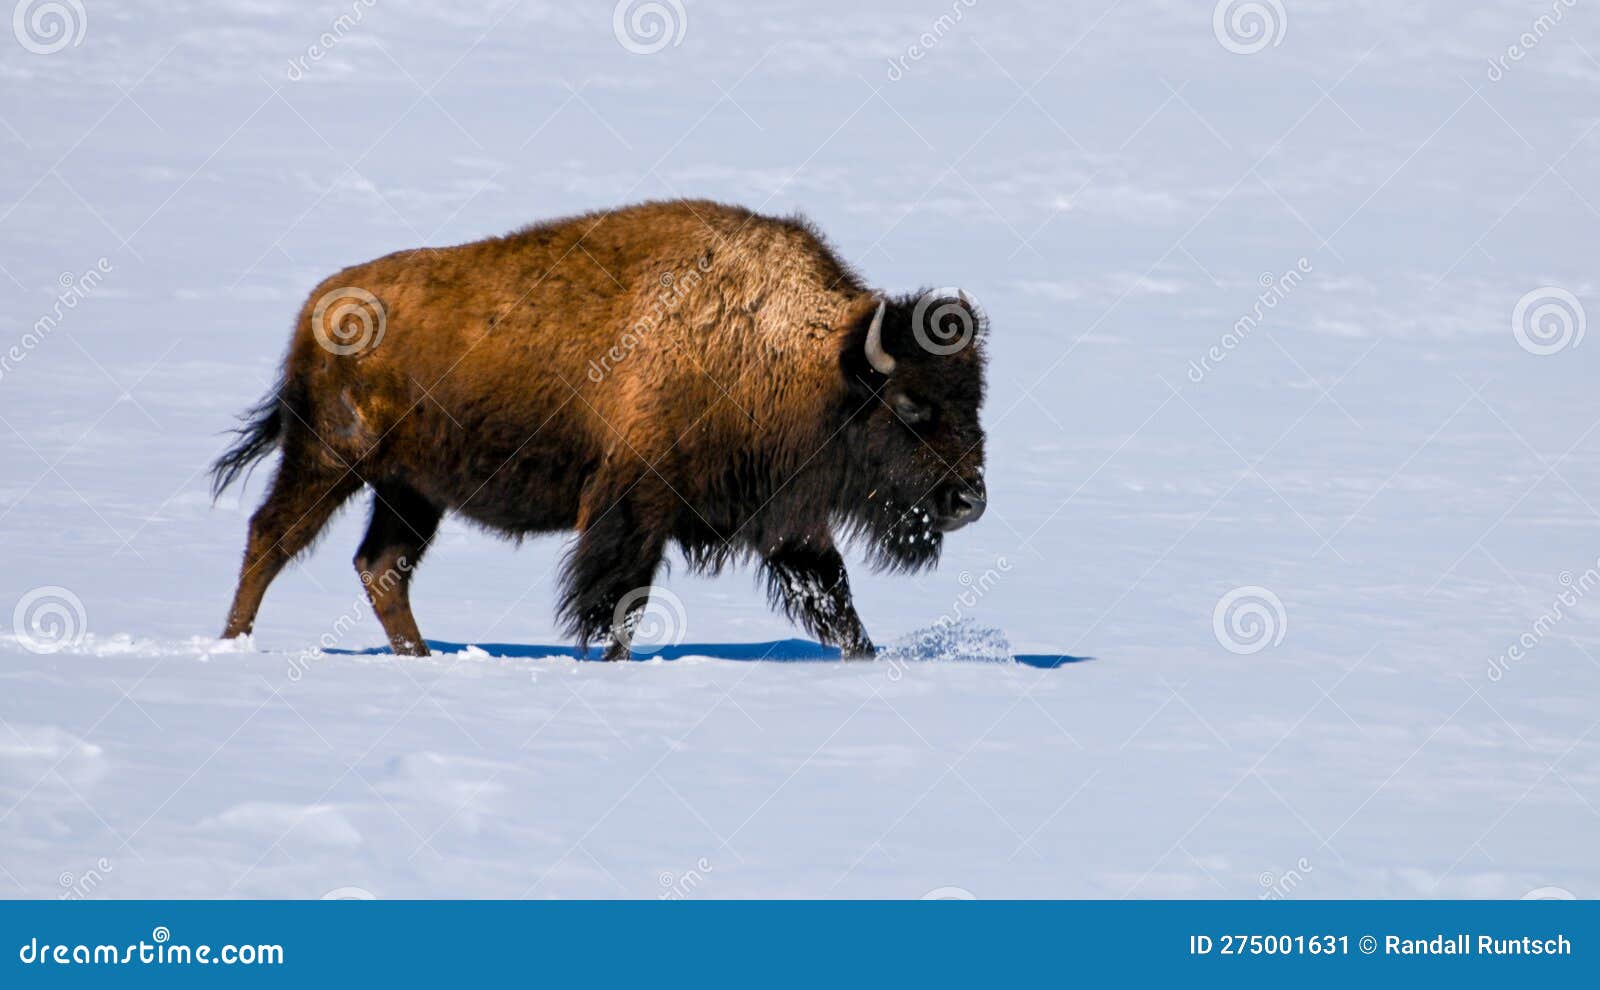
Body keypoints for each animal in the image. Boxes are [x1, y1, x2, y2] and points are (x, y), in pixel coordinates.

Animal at [212, 200, 988, 659]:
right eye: (910, 405)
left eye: (973, 403)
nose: (968, 501)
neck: (802, 353)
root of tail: (320, 305)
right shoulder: (633, 507)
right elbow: (618, 600)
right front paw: (609, 663)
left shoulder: (785, 519)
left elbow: (833, 596)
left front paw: (868, 658)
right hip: (329, 461)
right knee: (271, 536)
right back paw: (232, 644)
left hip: (410, 491)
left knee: (380, 567)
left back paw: (421, 658)